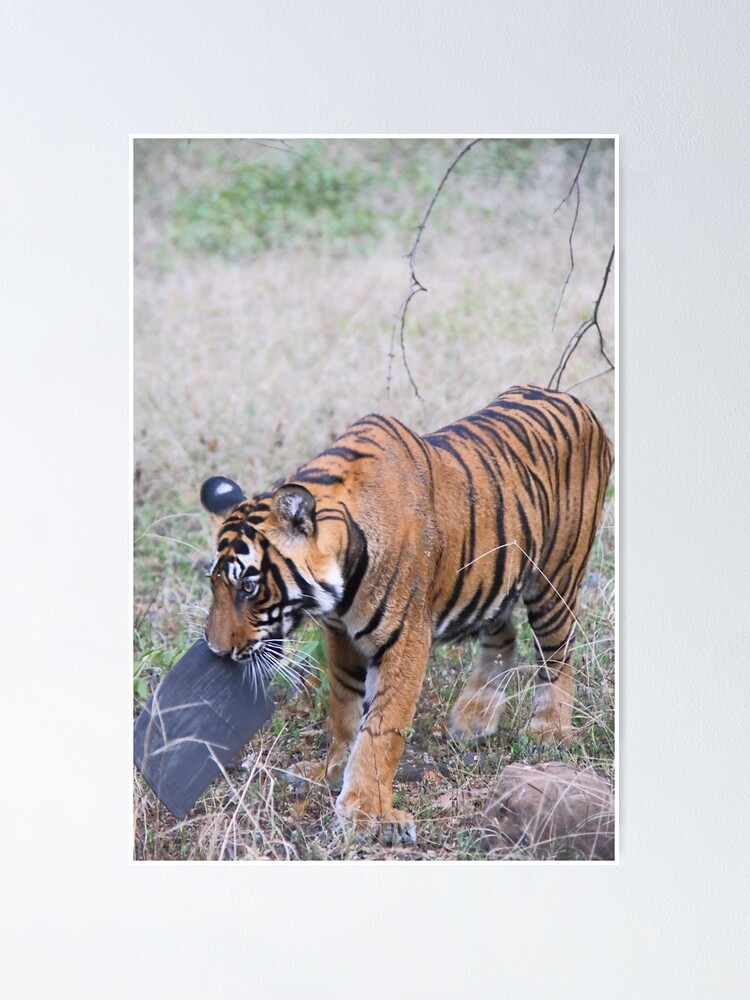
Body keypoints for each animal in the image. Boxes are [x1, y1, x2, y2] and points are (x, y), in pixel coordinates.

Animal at [200, 385, 613, 845]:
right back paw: (475, 715)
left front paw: (365, 812)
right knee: (503, 636)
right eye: (215, 582)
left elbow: (382, 728)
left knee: (559, 654)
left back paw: (549, 730)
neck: (340, 587)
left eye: (248, 587)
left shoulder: (406, 639)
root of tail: (572, 400)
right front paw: (331, 770)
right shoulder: (340, 637)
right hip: (489, 576)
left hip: (556, 580)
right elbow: (345, 708)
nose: (215, 650)